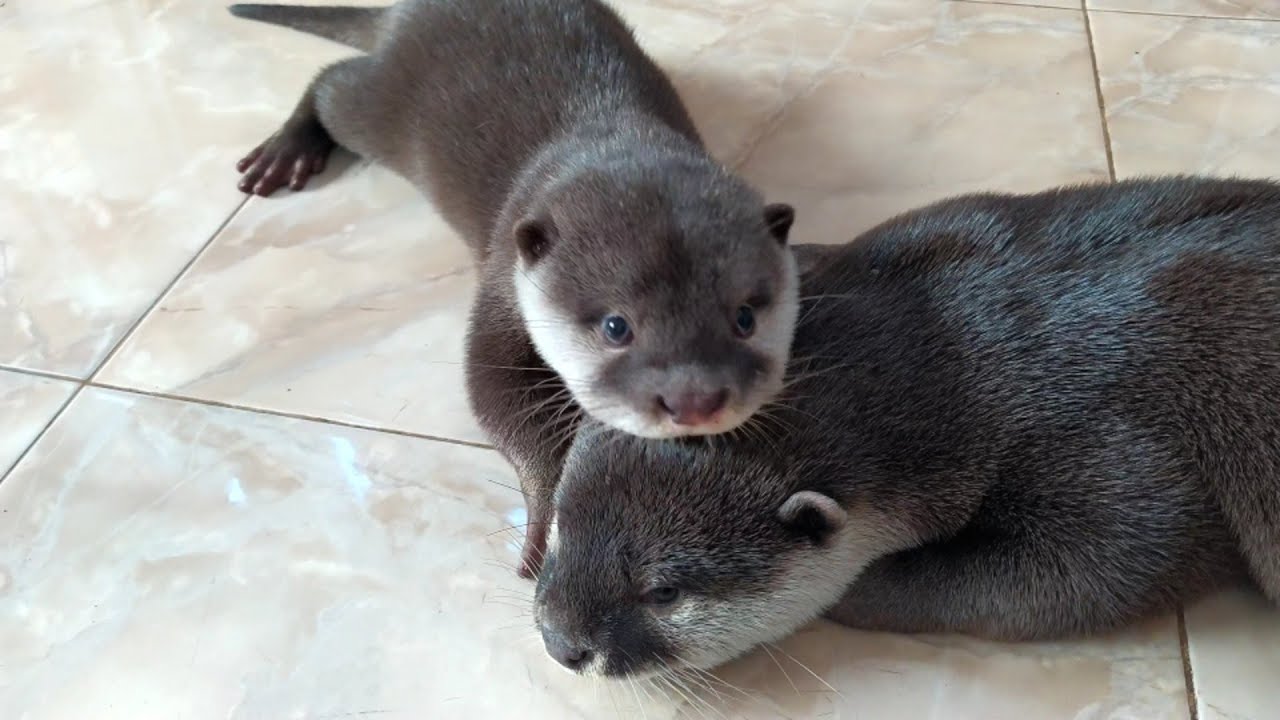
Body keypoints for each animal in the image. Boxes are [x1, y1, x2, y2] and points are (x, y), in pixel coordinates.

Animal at [228, 1, 799, 576]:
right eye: (617, 327)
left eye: (745, 318)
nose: (695, 401)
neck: (607, 143)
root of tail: (403, 13)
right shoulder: (505, 275)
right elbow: (494, 396)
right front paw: (547, 518)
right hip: (385, 102)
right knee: (333, 85)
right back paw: (286, 149)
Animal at [534, 176, 1280, 677]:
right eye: (562, 526)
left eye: (663, 592)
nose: (562, 644)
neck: (950, 350)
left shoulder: (1090, 438)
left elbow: (1124, 555)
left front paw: (861, 591)